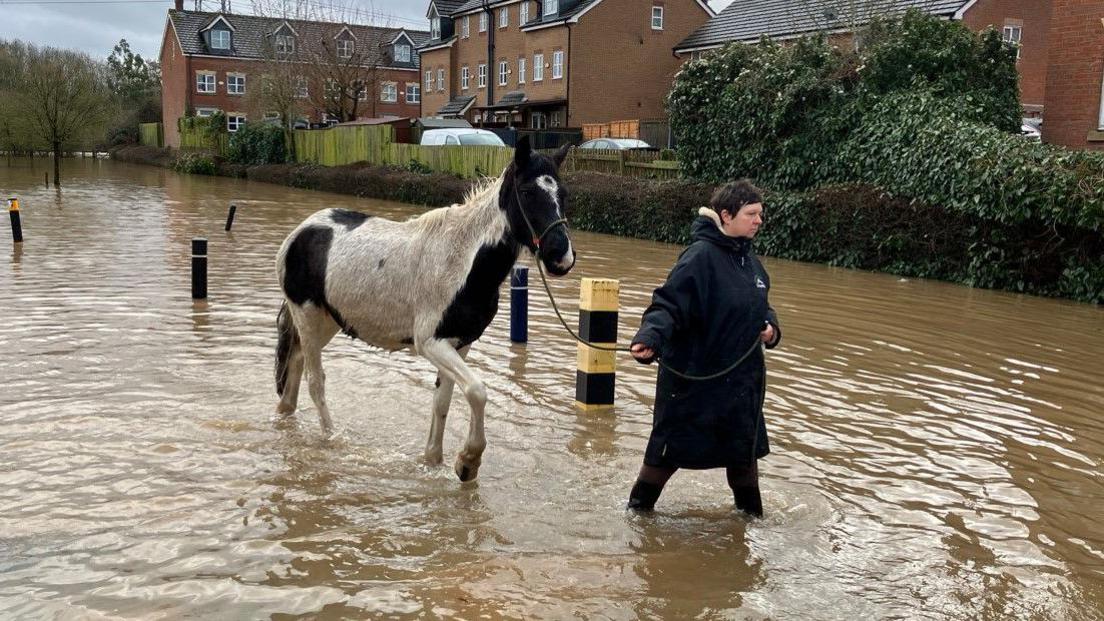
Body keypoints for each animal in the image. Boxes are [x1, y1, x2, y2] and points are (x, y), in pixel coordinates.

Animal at [274, 136, 575, 482]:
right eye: (527, 192)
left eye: (563, 194)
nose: (560, 256)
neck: (464, 262)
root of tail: (300, 232)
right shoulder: (430, 342)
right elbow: (477, 391)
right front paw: (469, 460)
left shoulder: (460, 343)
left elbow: (442, 402)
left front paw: (434, 460)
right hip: (308, 317)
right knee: (315, 382)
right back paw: (330, 439)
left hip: (327, 321)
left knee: (295, 363)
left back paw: (285, 417)